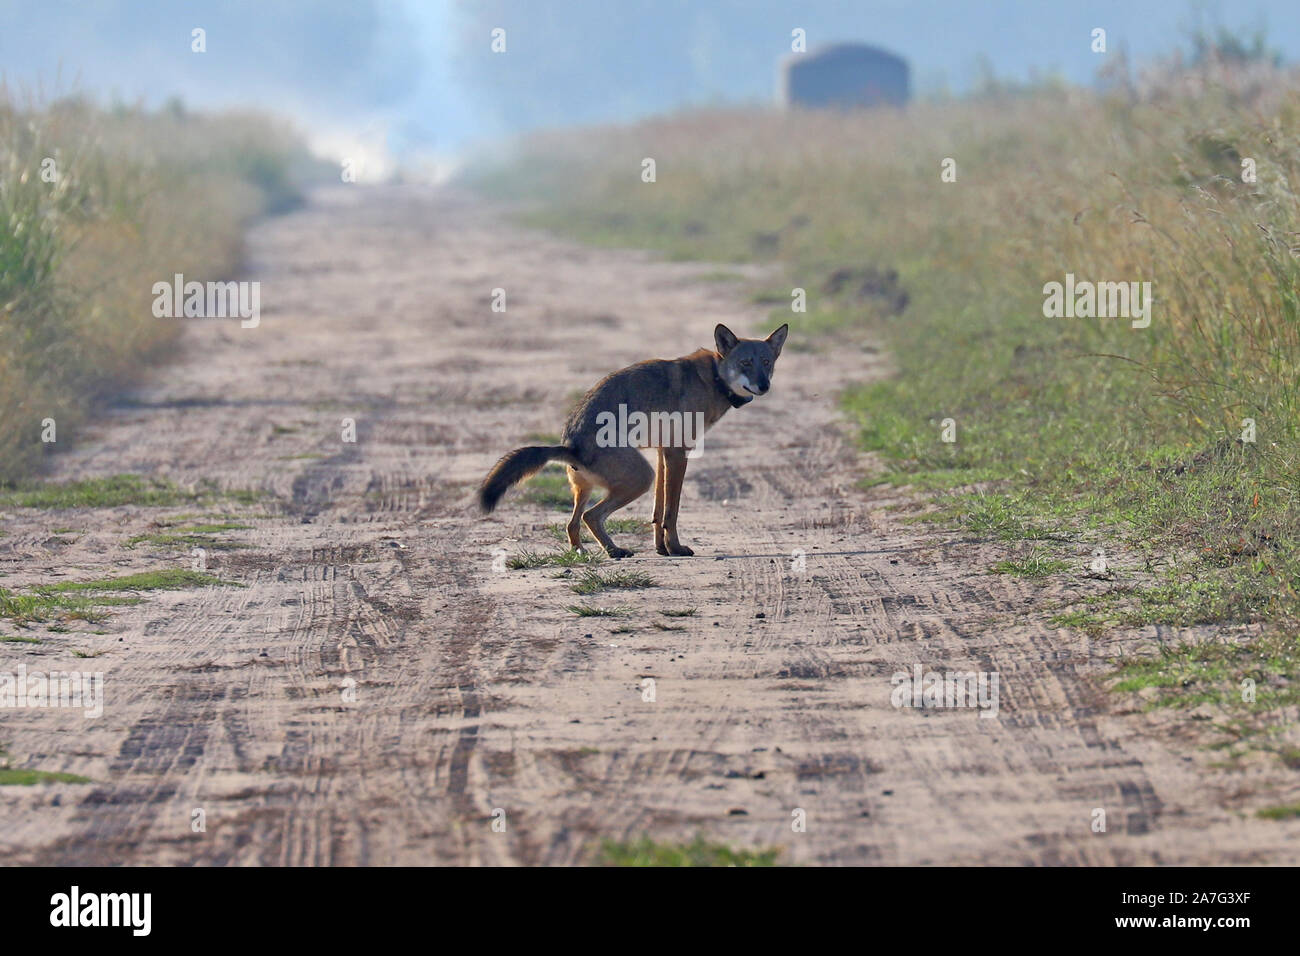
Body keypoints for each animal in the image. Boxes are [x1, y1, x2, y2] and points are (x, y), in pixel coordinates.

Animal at [478, 323, 788, 558]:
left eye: (766, 363)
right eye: (745, 363)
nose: (764, 385)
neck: (712, 378)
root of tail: (570, 445)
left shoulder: (664, 453)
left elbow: (657, 511)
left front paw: (662, 549)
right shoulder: (677, 454)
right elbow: (671, 511)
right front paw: (676, 548)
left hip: (590, 488)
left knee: (572, 524)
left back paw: (584, 553)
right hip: (640, 478)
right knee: (591, 516)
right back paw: (615, 551)